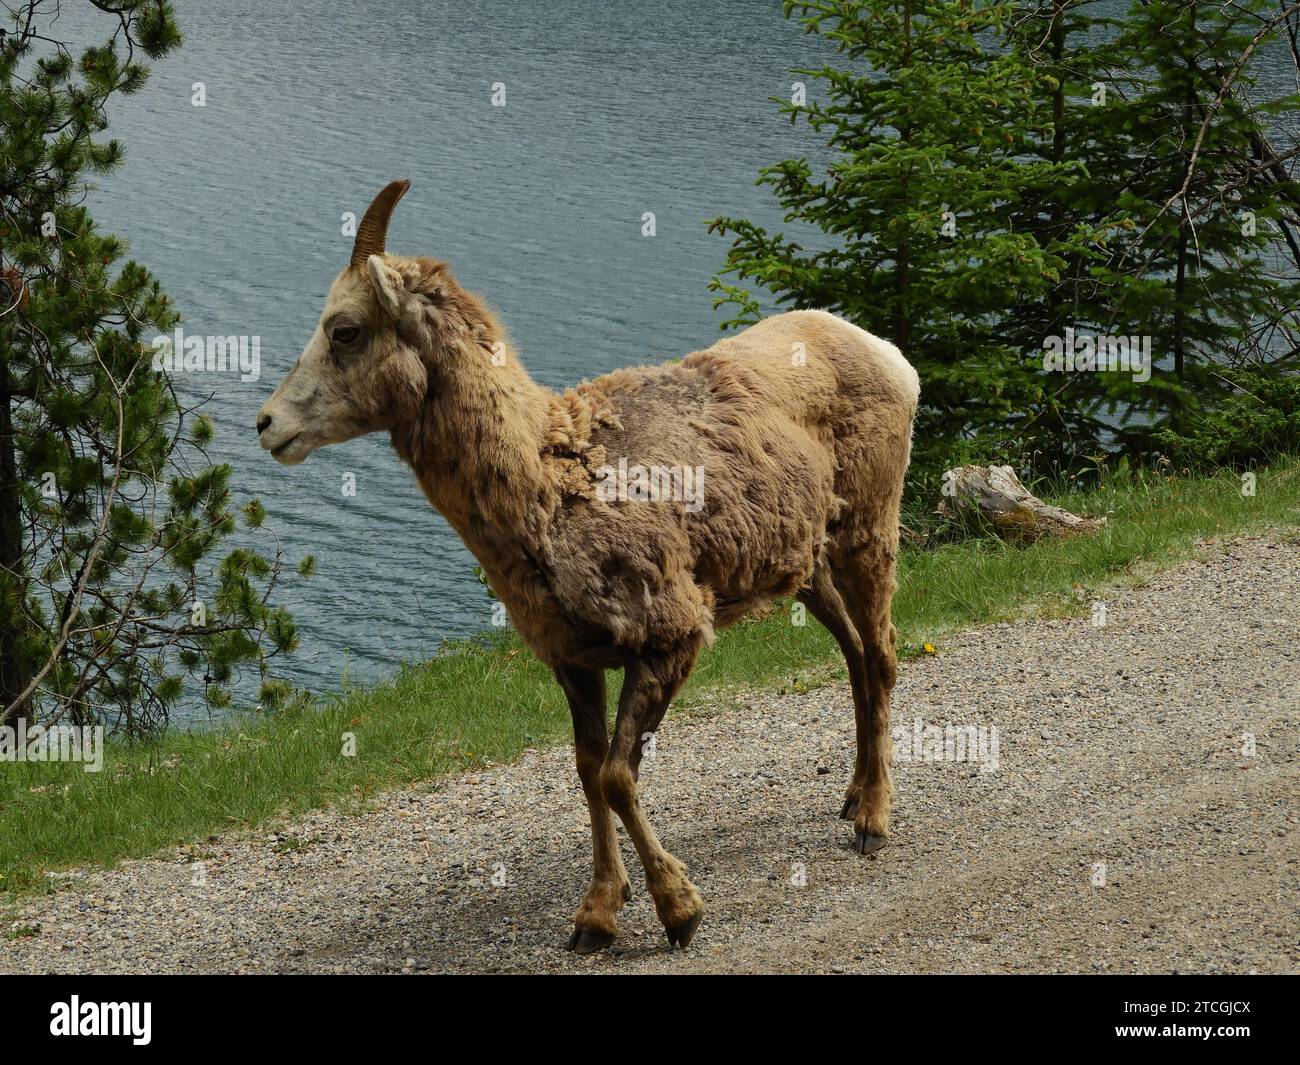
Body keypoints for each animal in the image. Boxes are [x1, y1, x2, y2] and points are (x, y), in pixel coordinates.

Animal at [257, 180, 920, 954]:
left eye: (346, 330)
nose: (268, 425)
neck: (548, 489)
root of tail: (890, 356)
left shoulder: (670, 638)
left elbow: (616, 777)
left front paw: (678, 911)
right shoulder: (572, 657)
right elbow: (584, 772)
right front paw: (598, 917)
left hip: (868, 528)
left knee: (883, 652)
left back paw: (873, 823)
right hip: (807, 566)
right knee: (855, 655)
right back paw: (850, 799)